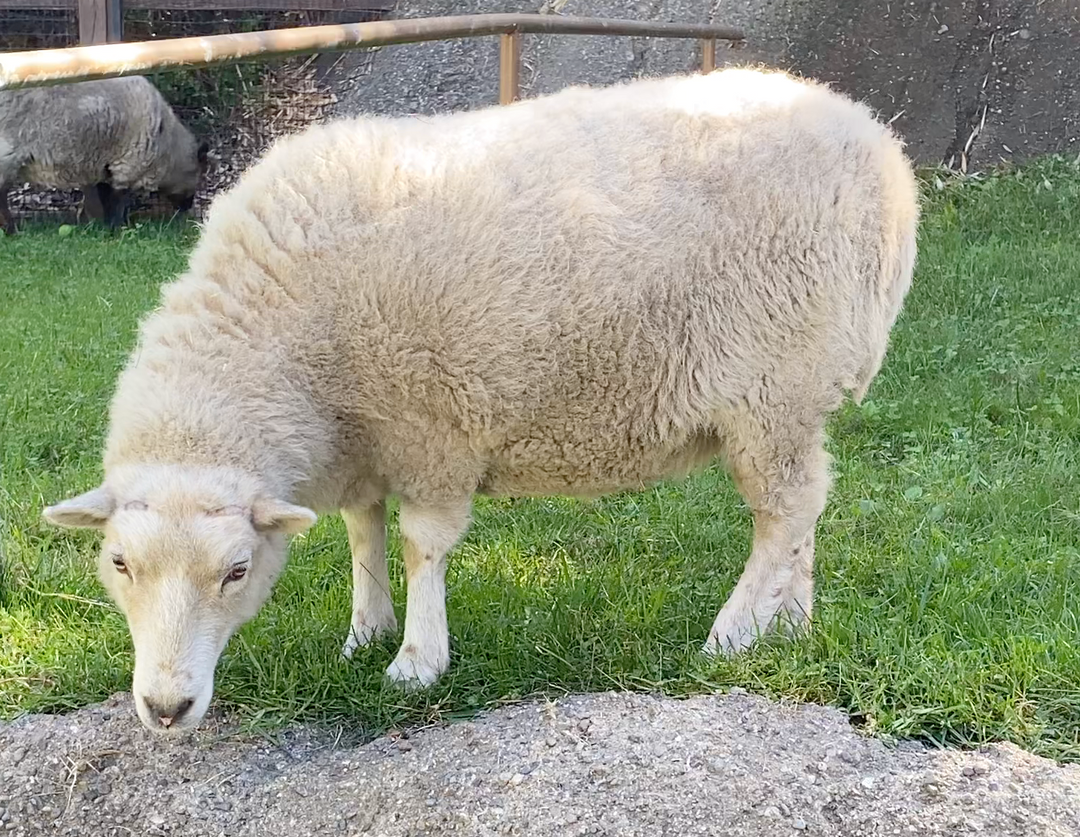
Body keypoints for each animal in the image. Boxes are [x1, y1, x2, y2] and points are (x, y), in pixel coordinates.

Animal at [0, 75, 208, 235]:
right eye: (196, 174)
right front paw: (117, 229)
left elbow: (105, 196)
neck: (167, 146)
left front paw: (106, 226)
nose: (188, 206)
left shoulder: (104, 166)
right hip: (7, 156)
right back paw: (12, 231)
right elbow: (117, 201)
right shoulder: (127, 165)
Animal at [43, 66, 919, 734]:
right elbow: (362, 532)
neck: (284, 343)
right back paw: (790, 623)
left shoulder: (431, 425)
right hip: (795, 400)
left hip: (772, 382)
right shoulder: (366, 435)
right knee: (802, 510)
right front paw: (365, 632)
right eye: (118, 563)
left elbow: (422, 544)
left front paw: (415, 661)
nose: (165, 707)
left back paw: (733, 634)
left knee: (783, 512)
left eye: (235, 570)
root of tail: (880, 144)